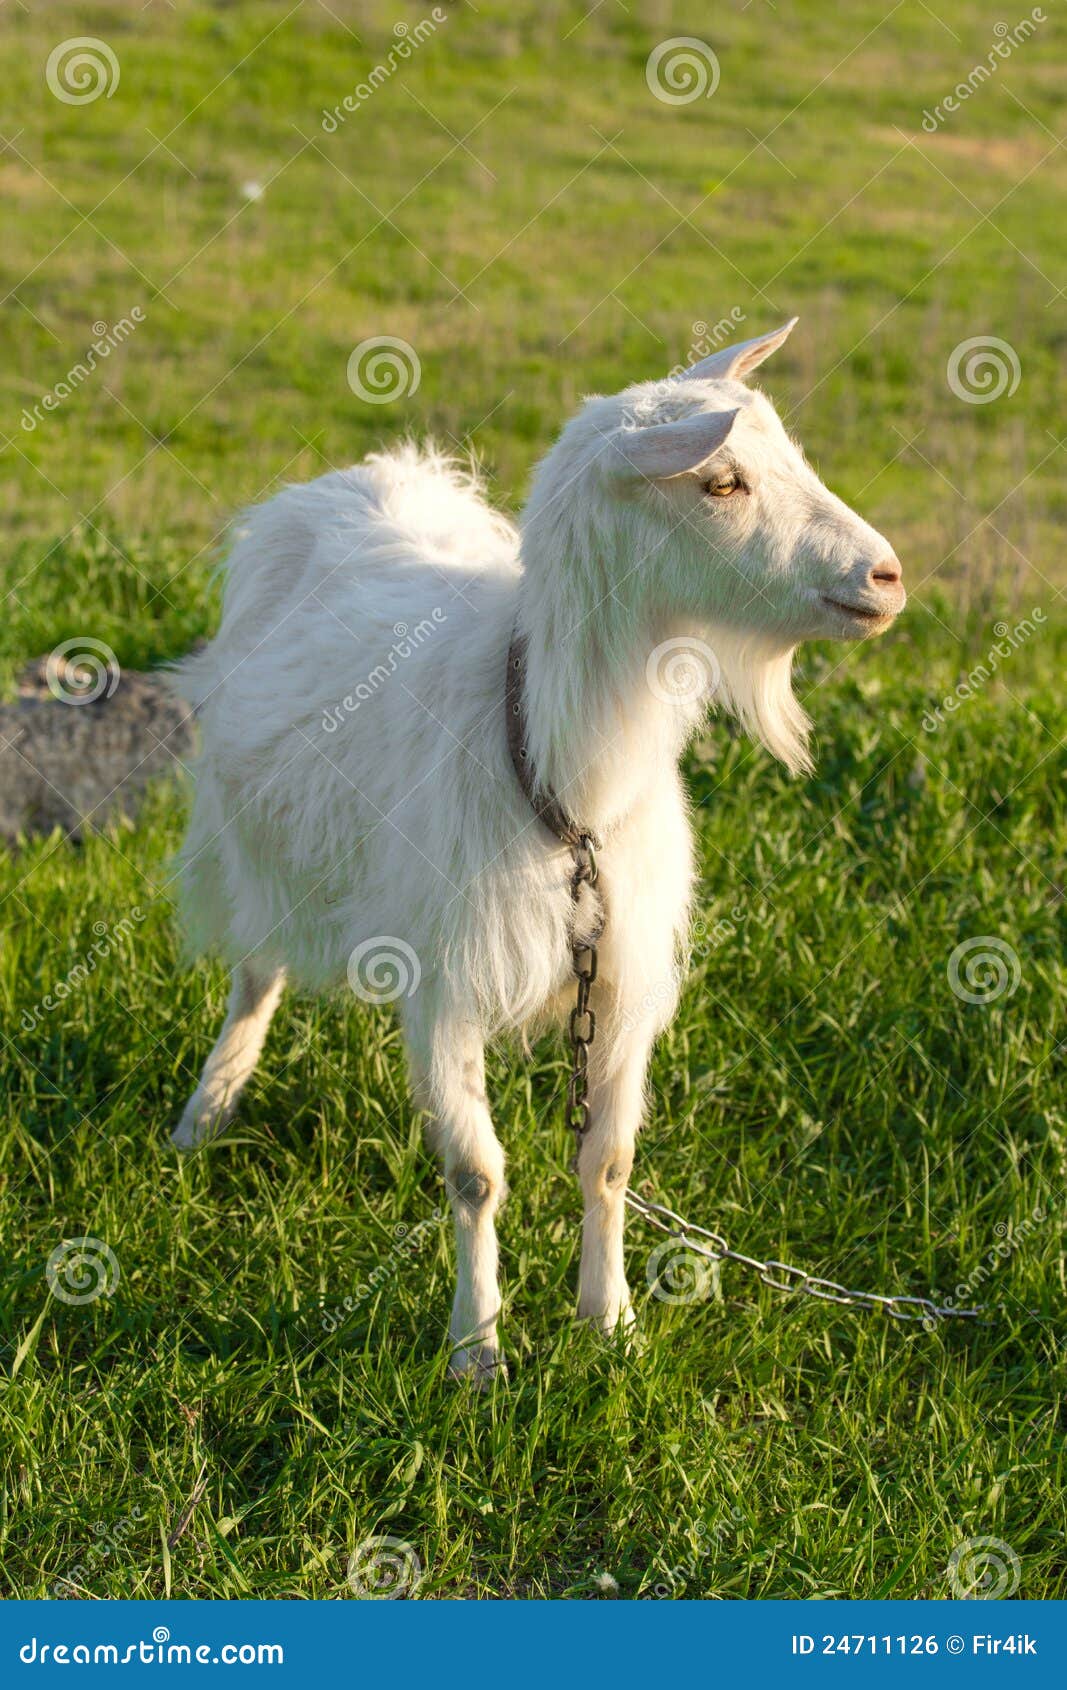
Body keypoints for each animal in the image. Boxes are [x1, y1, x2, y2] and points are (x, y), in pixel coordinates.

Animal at [172, 320, 904, 1379]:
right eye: (722, 482)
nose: (887, 577)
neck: (564, 780)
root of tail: (367, 475)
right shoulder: (450, 978)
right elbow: (476, 1172)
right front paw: (477, 1350)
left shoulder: (619, 979)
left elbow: (607, 1161)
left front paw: (611, 1320)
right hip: (255, 845)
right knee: (256, 973)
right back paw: (207, 1112)